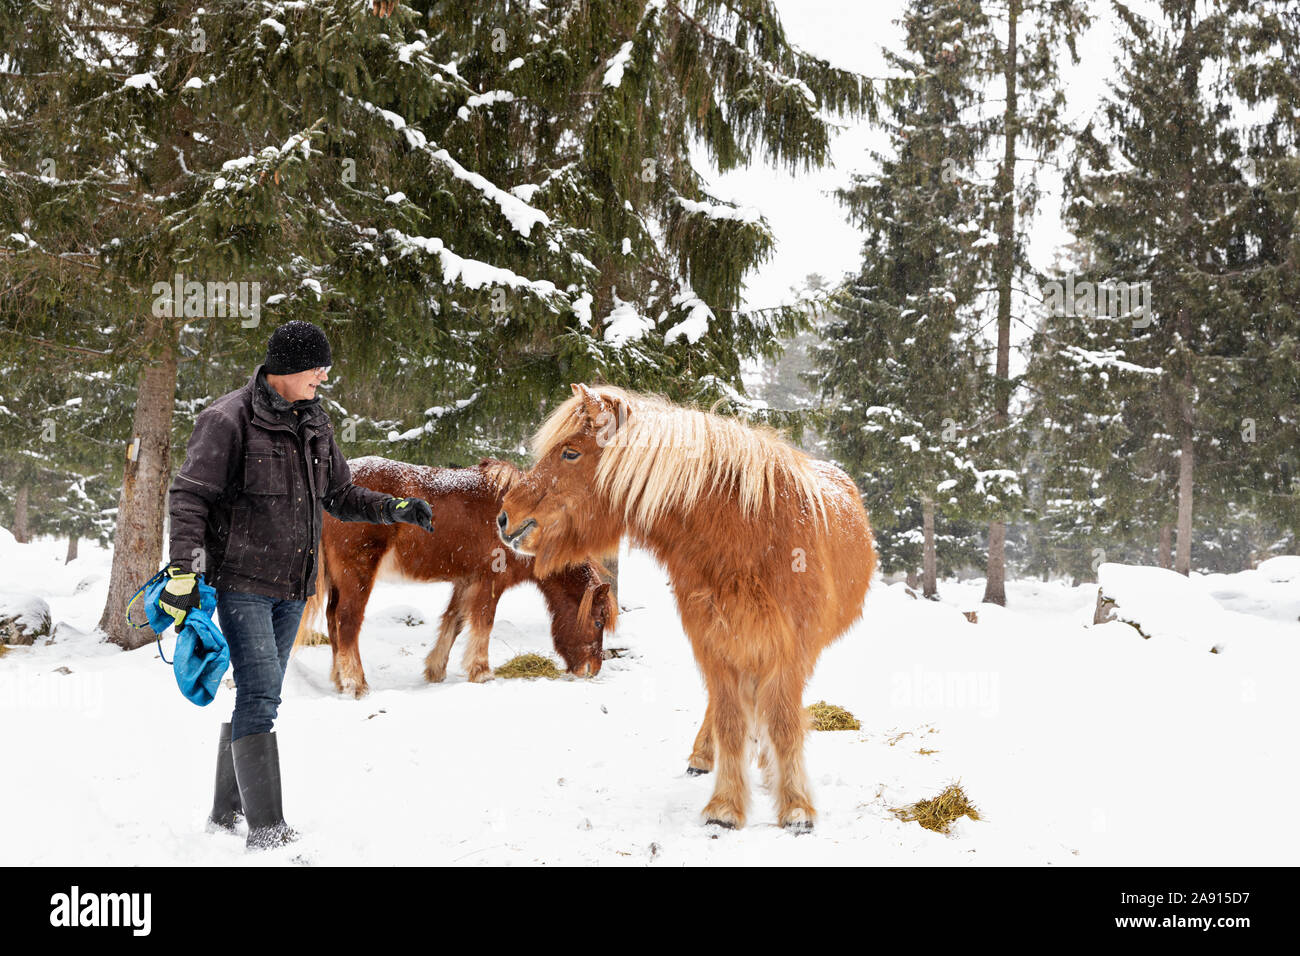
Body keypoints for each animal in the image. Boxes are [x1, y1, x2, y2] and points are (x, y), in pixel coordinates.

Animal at [294, 456, 616, 697]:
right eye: (598, 622)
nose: (592, 670)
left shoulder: (466, 582)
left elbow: (455, 621)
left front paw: (435, 670)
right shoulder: (490, 582)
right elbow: (483, 623)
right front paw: (482, 672)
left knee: (333, 621)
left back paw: (340, 680)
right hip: (357, 575)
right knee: (347, 622)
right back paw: (356, 684)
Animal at [498, 384, 876, 831]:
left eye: (570, 452)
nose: (505, 518)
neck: (751, 537)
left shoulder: (789, 650)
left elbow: (783, 722)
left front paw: (796, 807)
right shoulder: (713, 642)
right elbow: (731, 721)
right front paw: (726, 807)